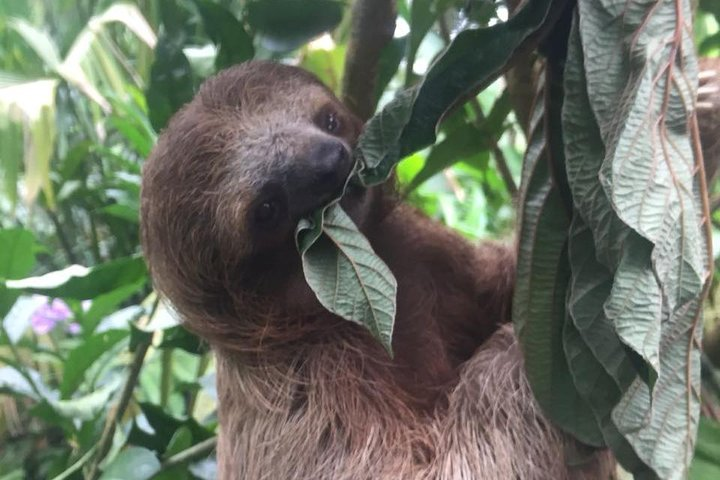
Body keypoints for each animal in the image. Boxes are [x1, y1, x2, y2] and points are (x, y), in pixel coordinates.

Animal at [140, 61, 615, 479]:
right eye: (267, 209)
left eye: (329, 120)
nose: (328, 162)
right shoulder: (301, 385)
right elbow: (421, 470)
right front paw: (528, 345)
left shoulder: (427, 252)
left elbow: (498, 286)